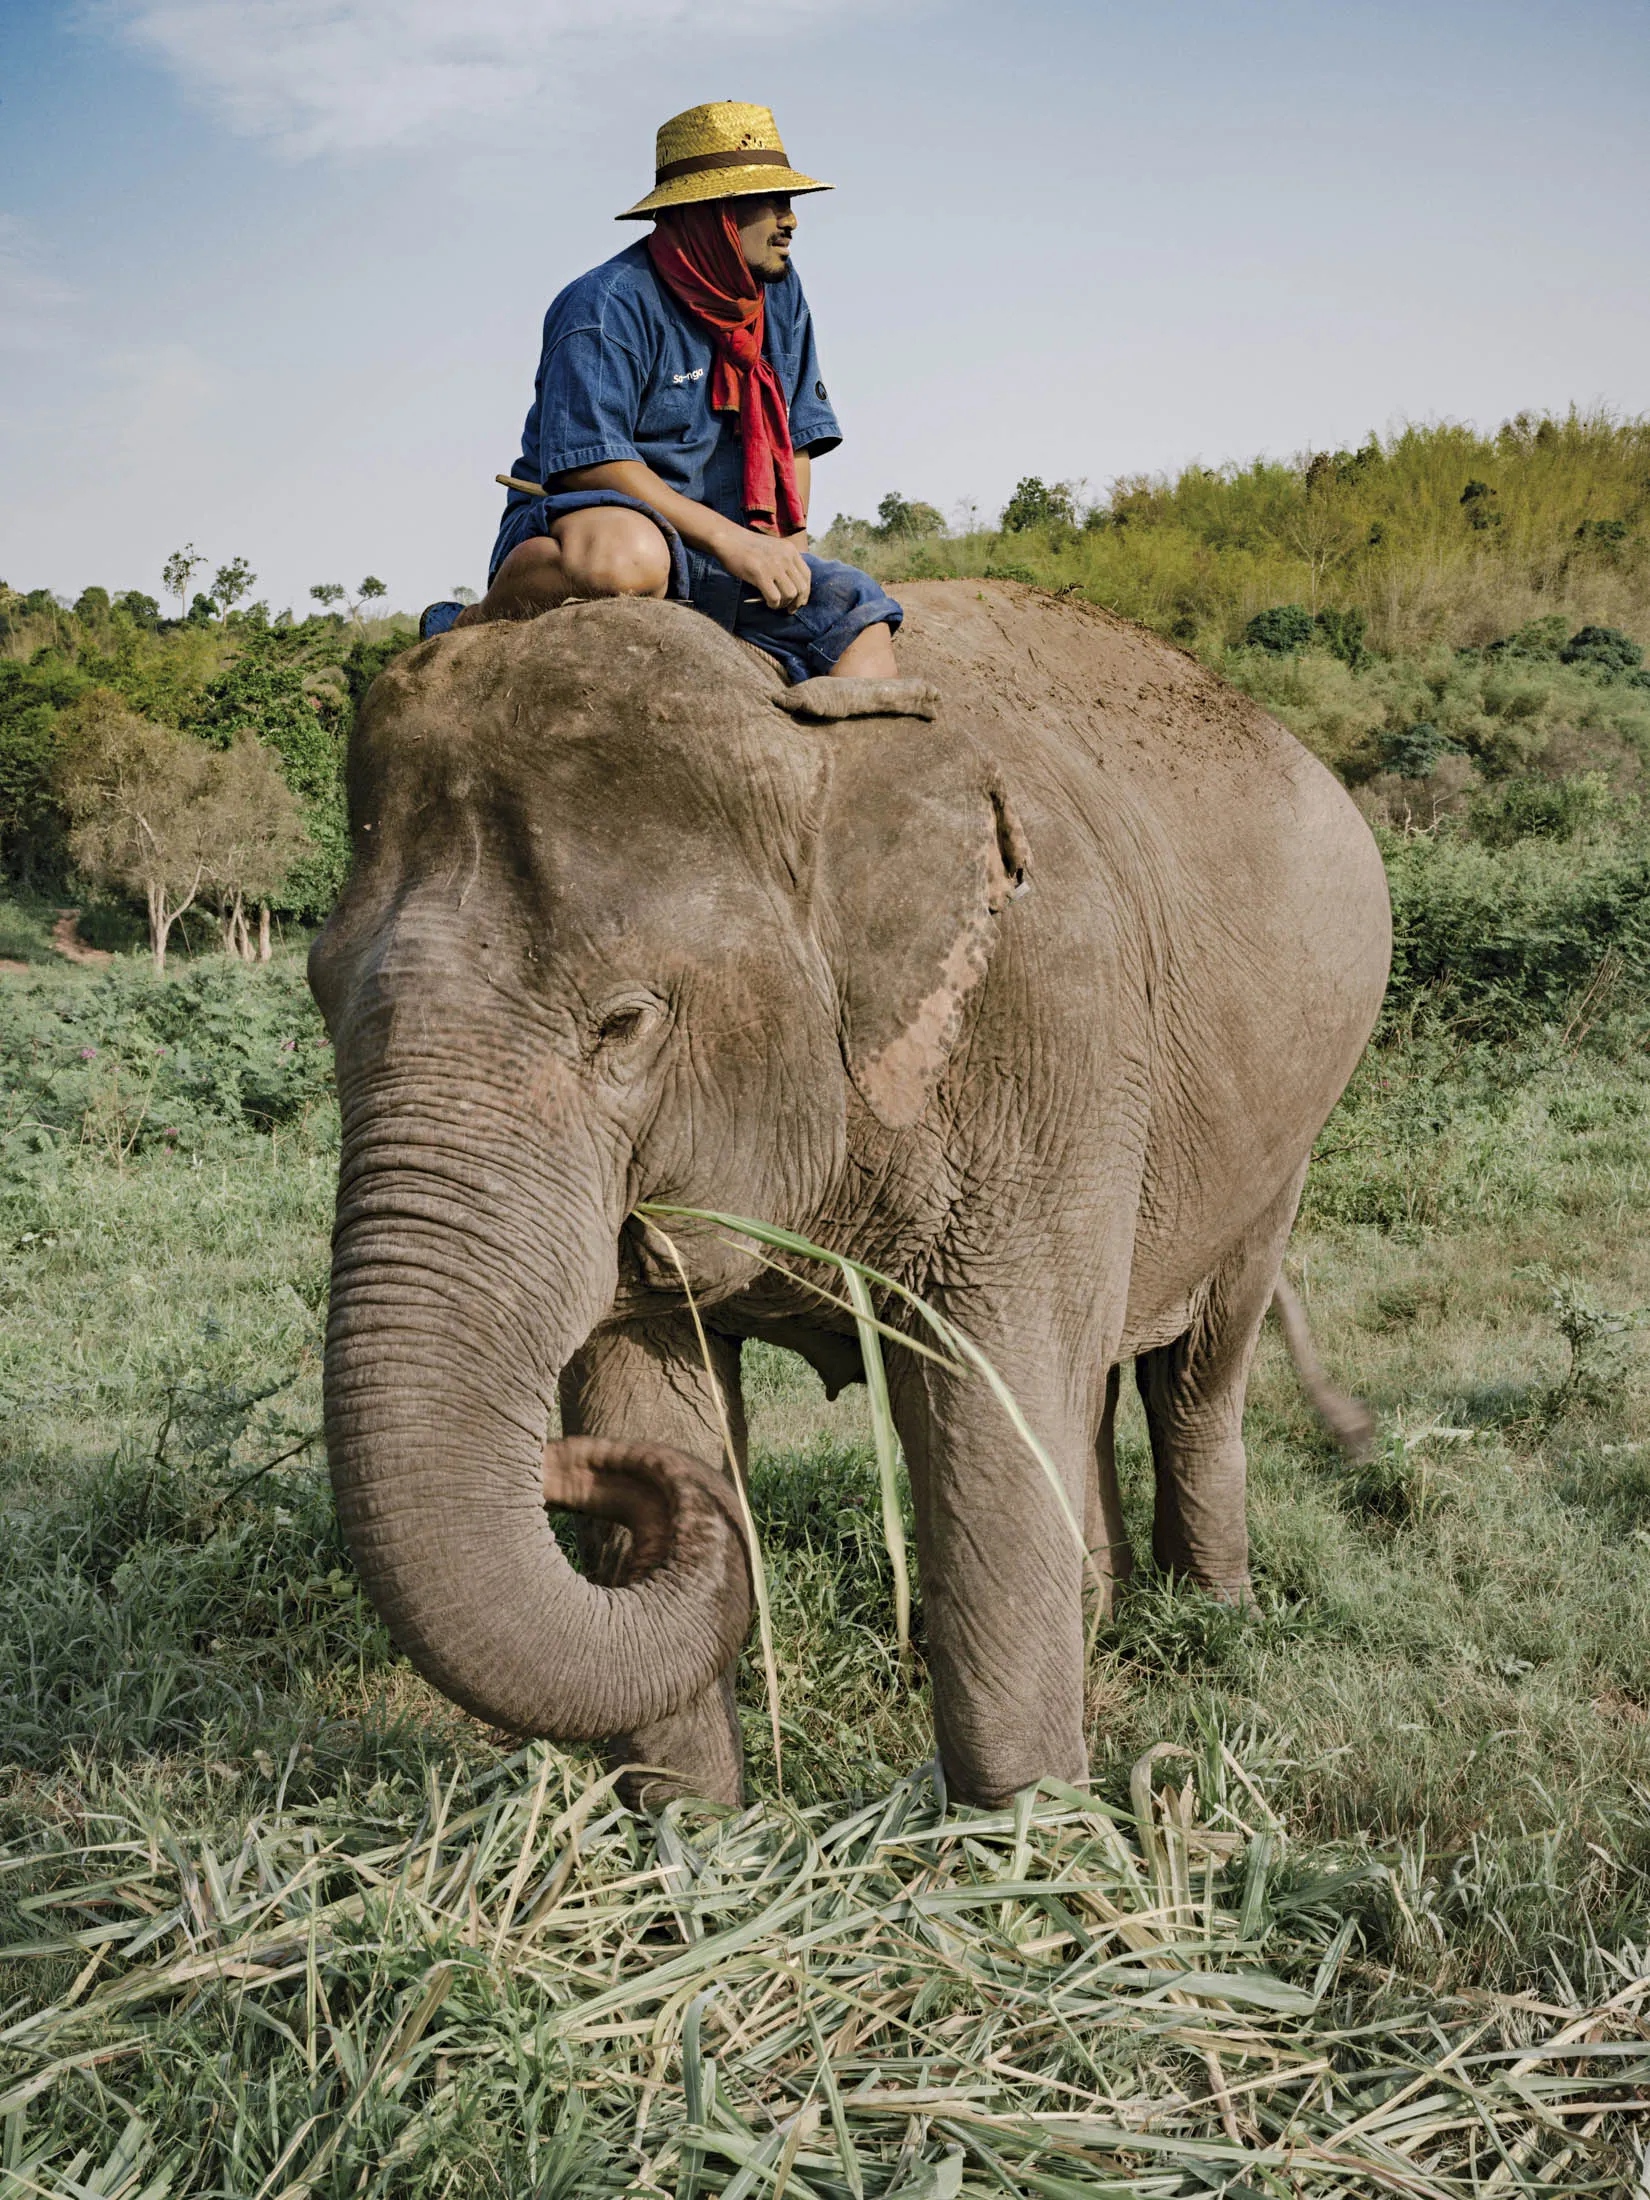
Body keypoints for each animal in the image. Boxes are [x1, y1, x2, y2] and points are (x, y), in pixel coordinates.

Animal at [308, 579, 1390, 1810]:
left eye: (624, 1023)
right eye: (320, 995)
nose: (559, 1469)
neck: (801, 742)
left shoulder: (1048, 1024)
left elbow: (987, 1398)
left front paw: (1033, 1832)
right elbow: (645, 1392)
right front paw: (695, 1833)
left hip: (1290, 1115)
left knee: (1200, 1367)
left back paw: (1212, 1618)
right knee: (1095, 1377)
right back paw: (1100, 1614)